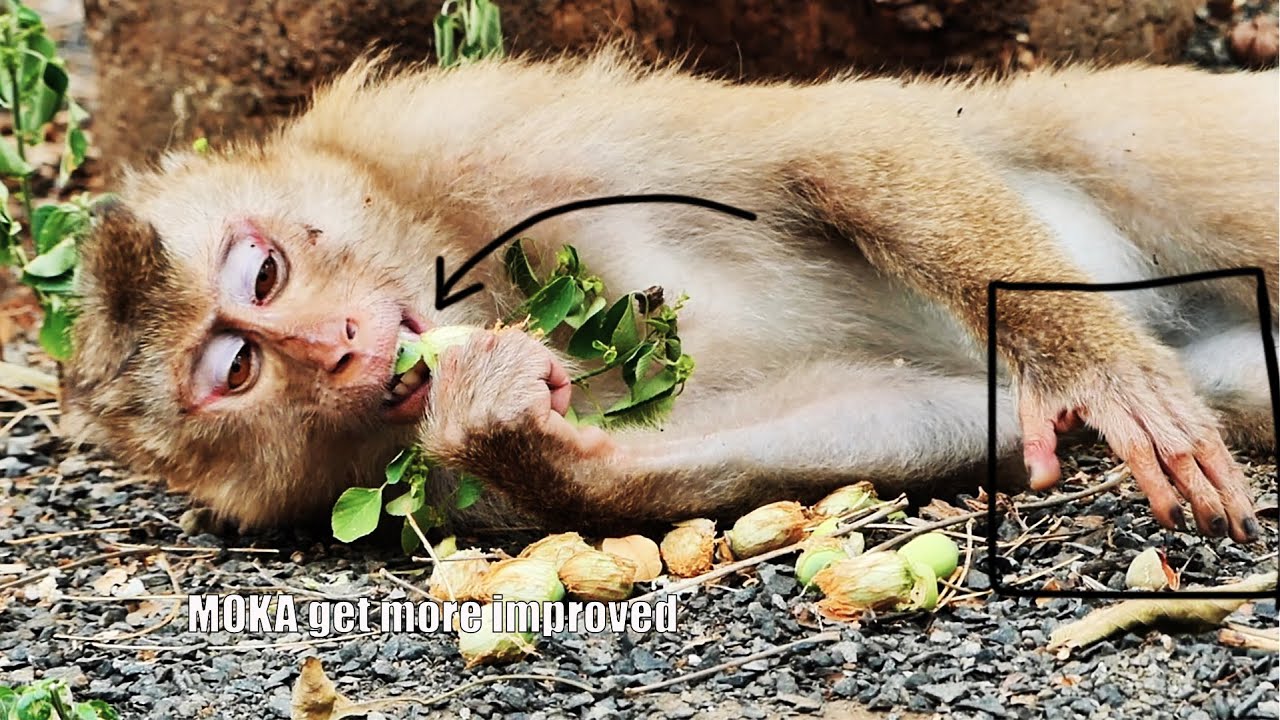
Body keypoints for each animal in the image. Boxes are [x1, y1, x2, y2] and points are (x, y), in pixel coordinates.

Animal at [61, 51, 1278, 543]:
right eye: (238, 371)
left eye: (263, 274)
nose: (345, 346)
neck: (462, 265)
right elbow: (925, 413)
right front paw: (520, 434)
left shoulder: (471, 131)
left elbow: (833, 144)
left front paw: (1097, 372)